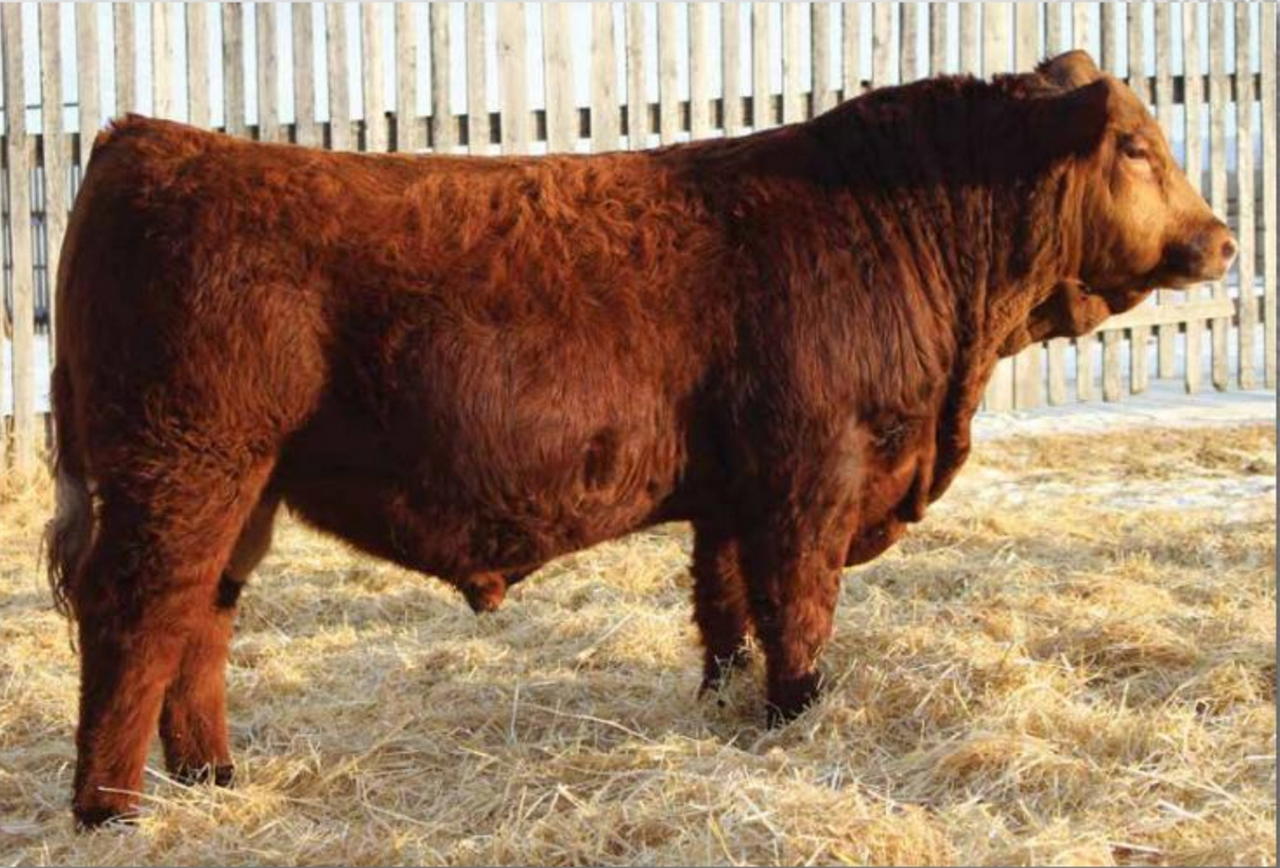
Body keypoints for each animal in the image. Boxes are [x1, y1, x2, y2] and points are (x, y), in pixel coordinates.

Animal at [46, 50, 1234, 827]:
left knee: (199, 621)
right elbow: (797, 613)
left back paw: (213, 783)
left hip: (243, 487)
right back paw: (111, 812)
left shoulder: (732, 495)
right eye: (1135, 147)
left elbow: (726, 614)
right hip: (181, 468)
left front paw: (732, 716)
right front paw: (798, 719)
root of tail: (140, 139)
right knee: (137, 621)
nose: (1221, 239)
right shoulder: (809, 479)